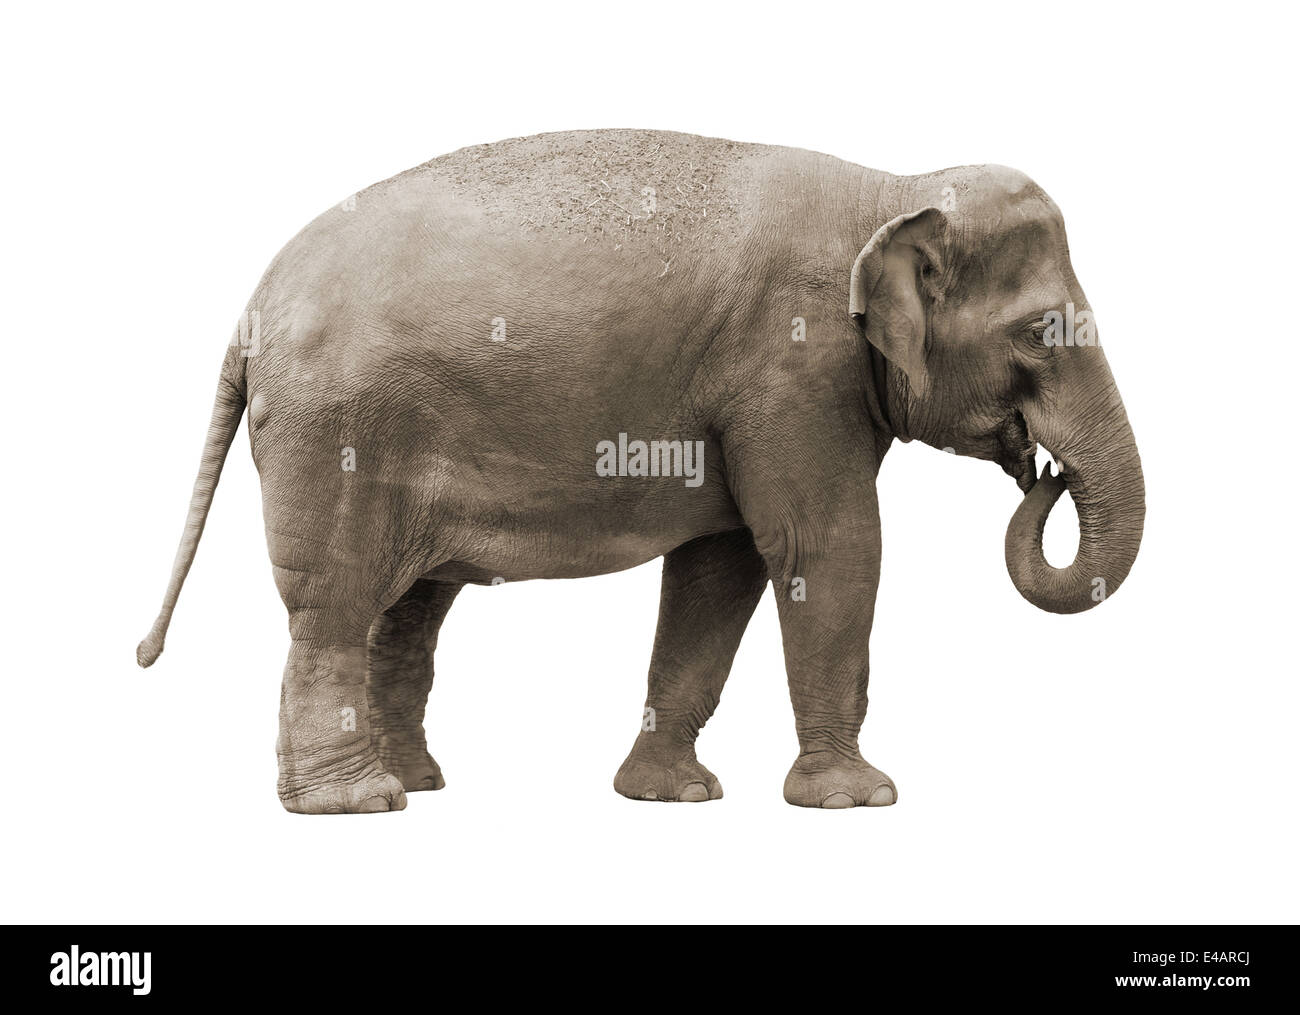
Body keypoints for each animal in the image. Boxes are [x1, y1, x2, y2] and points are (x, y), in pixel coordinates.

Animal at [138, 129, 1144, 813]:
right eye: (1039, 332)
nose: (1042, 469)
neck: (891, 187)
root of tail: (251, 310)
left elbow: (721, 567)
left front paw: (671, 794)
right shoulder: (792, 368)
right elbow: (826, 547)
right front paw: (858, 798)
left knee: (409, 608)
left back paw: (418, 782)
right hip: (338, 432)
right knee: (335, 605)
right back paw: (356, 803)